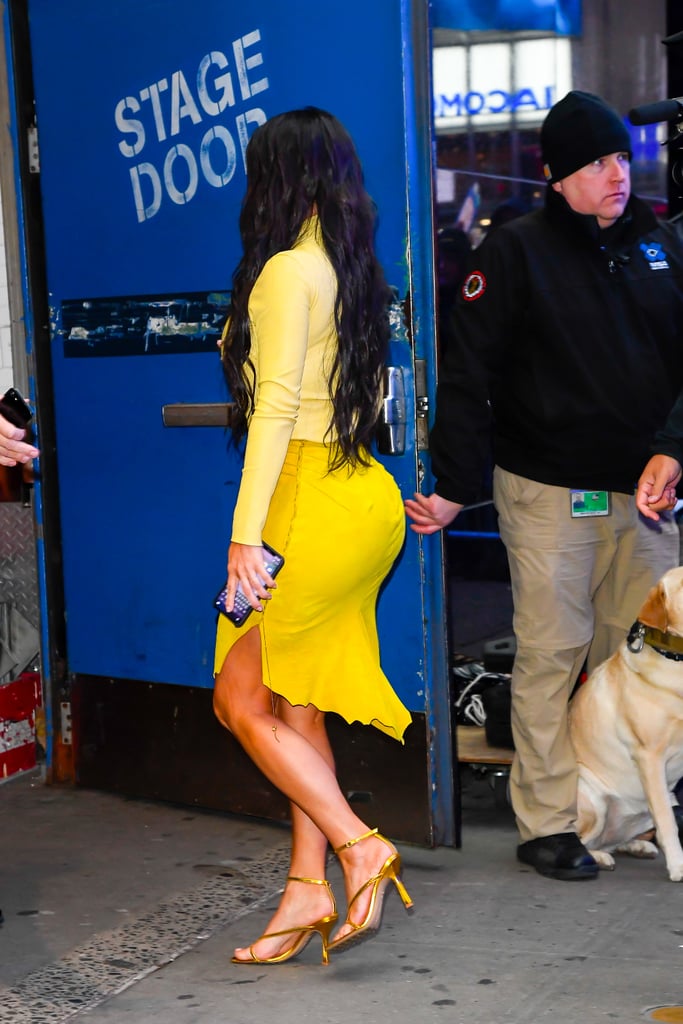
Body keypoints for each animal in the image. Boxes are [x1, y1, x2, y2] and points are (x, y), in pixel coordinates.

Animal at [569, 565, 683, 876]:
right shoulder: (650, 756)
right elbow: (668, 824)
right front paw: (678, 866)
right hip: (593, 800)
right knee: (582, 840)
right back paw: (596, 857)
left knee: (617, 840)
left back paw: (637, 846)